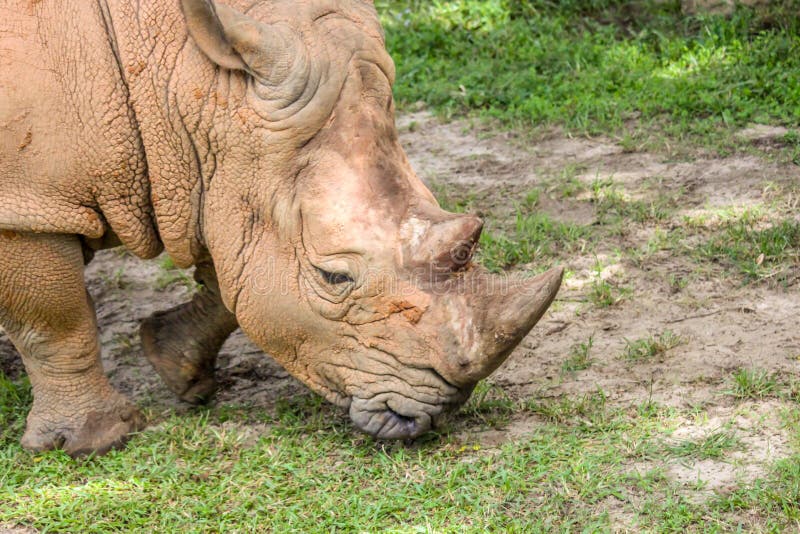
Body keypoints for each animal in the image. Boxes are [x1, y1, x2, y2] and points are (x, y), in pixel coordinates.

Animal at [0, 0, 562, 456]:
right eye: (334, 278)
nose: (440, 412)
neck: (186, 82)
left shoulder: (230, 171)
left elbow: (231, 283)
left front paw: (176, 367)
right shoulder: (27, 205)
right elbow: (57, 320)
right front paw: (98, 440)